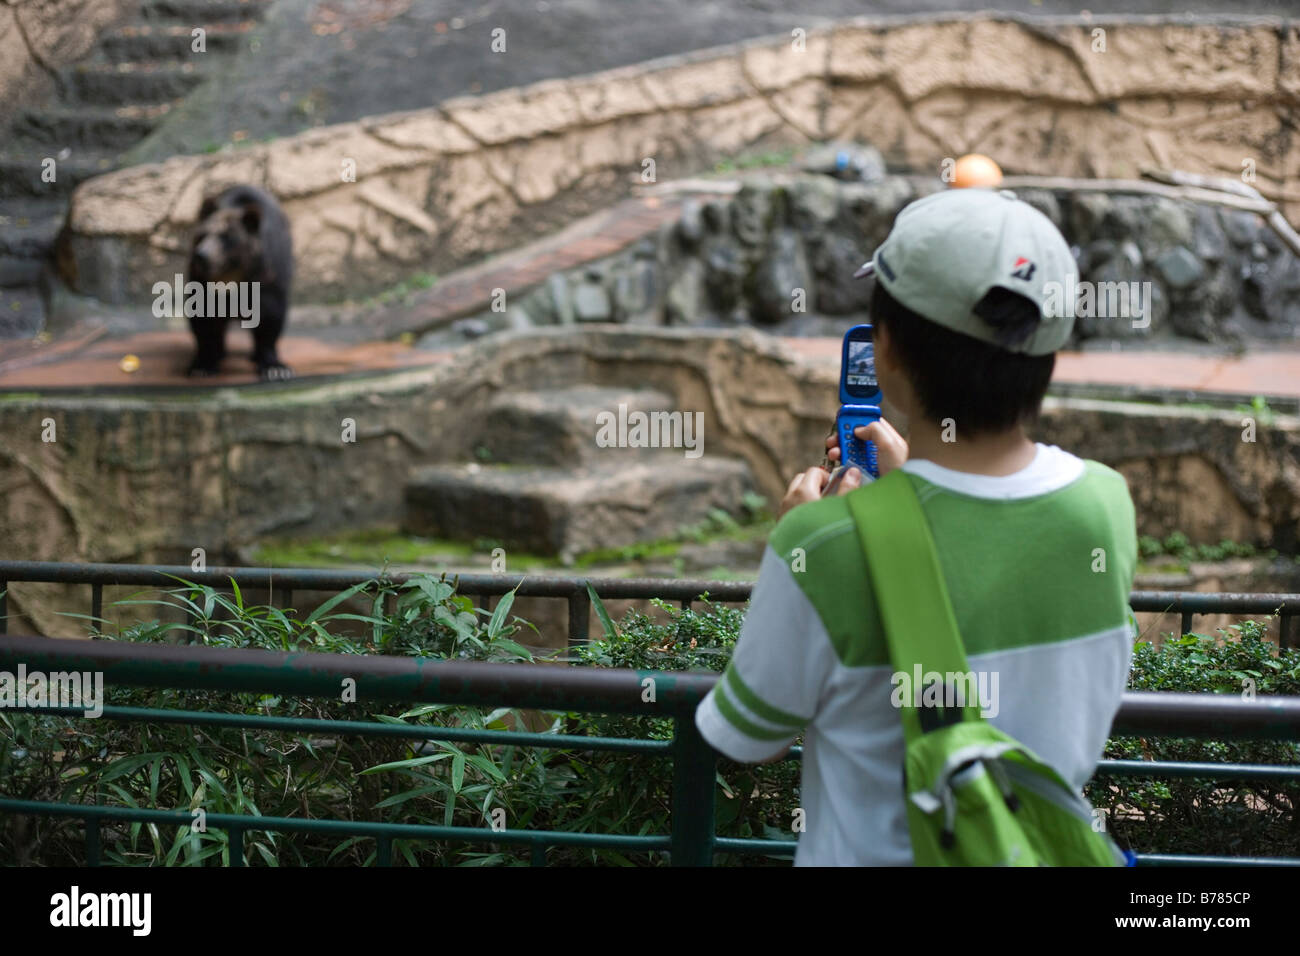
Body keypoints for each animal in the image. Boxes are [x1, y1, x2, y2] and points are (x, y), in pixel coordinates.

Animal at [186, 184, 293, 380]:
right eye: (203, 234)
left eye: (226, 237)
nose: (201, 255)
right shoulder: (201, 283)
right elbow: (203, 321)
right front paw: (203, 365)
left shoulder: (268, 279)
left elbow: (270, 318)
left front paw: (275, 368)